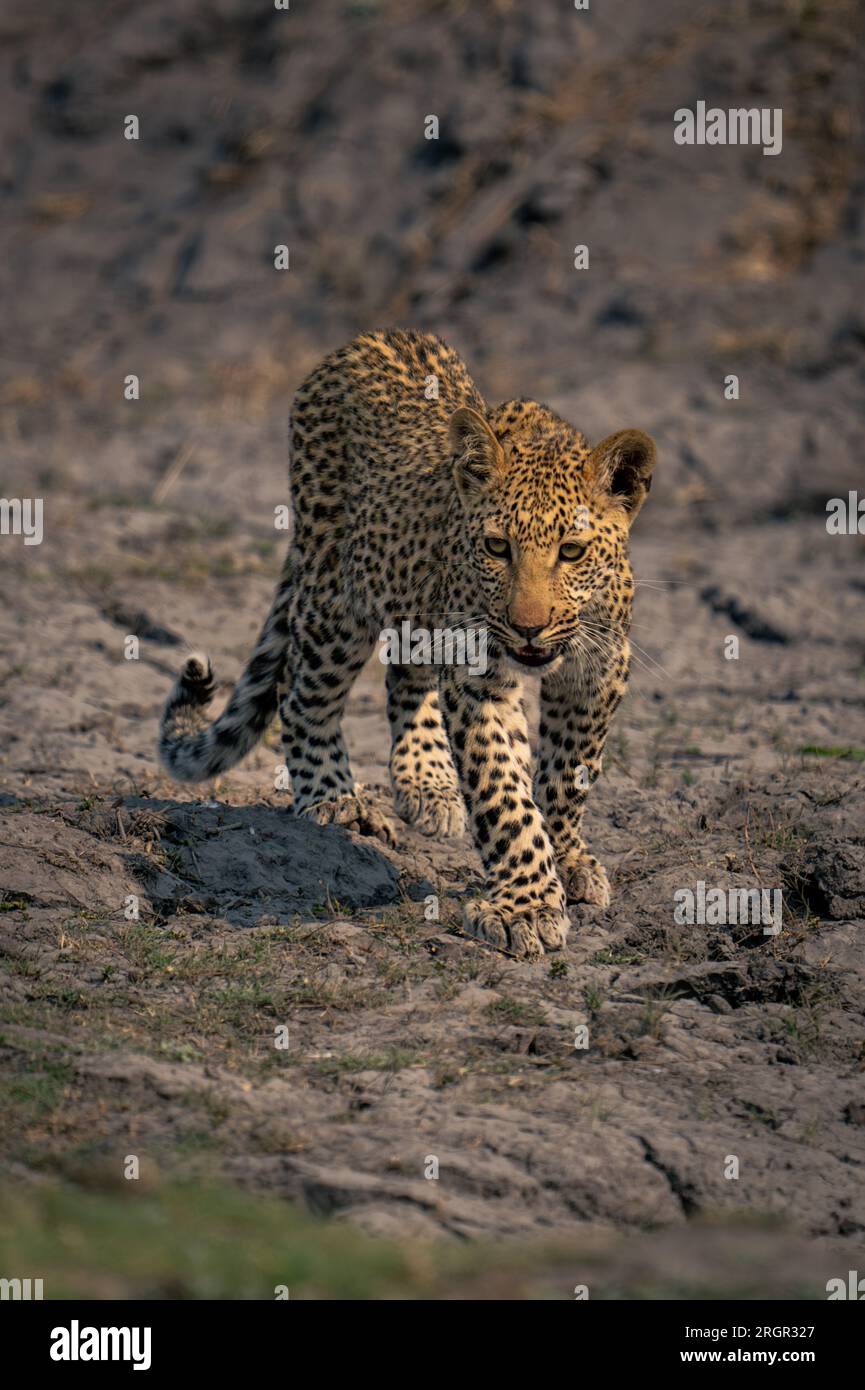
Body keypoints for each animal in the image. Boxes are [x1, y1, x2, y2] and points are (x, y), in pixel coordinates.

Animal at [159, 329, 656, 961]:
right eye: (497, 547)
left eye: (572, 551)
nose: (527, 626)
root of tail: (365, 339)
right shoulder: (478, 677)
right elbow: (503, 792)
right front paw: (526, 905)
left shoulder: (599, 669)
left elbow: (569, 771)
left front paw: (566, 859)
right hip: (336, 594)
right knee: (302, 693)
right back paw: (334, 800)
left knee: (404, 672)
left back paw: (429, 783)